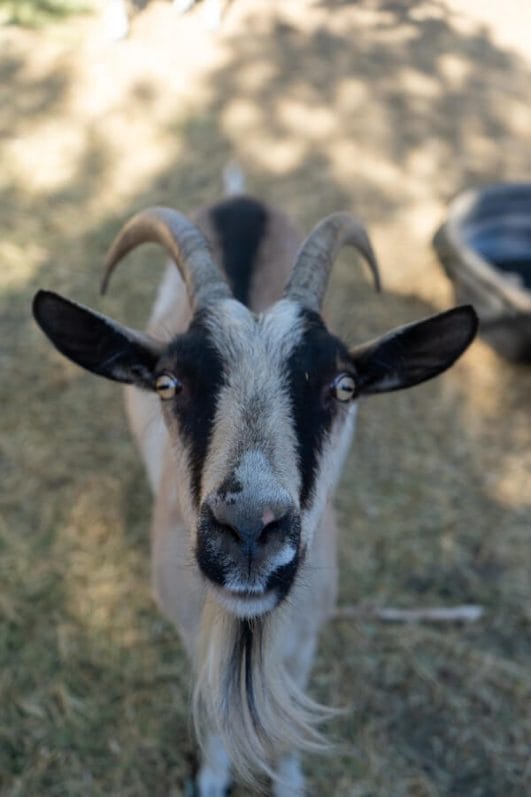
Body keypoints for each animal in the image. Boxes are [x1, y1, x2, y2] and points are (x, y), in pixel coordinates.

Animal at [33, 184, 478, 795]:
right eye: (168, 383)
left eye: (344, 386)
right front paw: (212, 778)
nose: (248, 529)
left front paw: (288, 780)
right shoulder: (192, 633)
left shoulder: (307, 637)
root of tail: (240, 196)